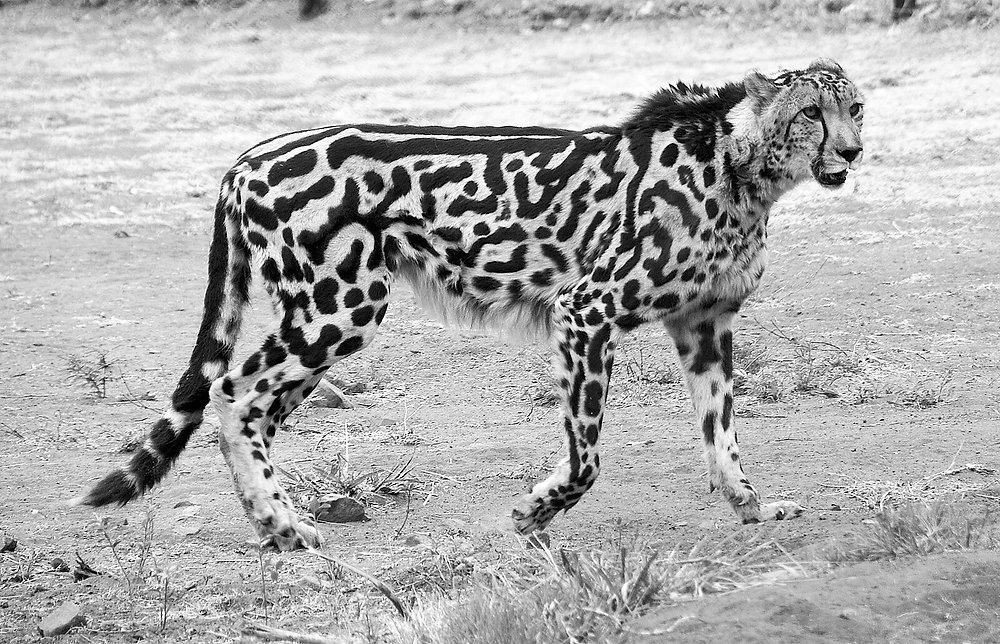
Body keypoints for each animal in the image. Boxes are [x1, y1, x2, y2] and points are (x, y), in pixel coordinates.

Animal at [74, 59, 864, 551]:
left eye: (854, 108)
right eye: (809, 114)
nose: (853, 152)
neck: (732, 161)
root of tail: (248, 156)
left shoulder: (703, 326)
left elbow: (722, 438)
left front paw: (753, 509)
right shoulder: (586, 310)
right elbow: (587, 457)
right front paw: (533, 512)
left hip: (328, 316)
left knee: (251, 407)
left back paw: (274, 526)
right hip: (339, 311)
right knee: (234, 395)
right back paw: (283, 525)